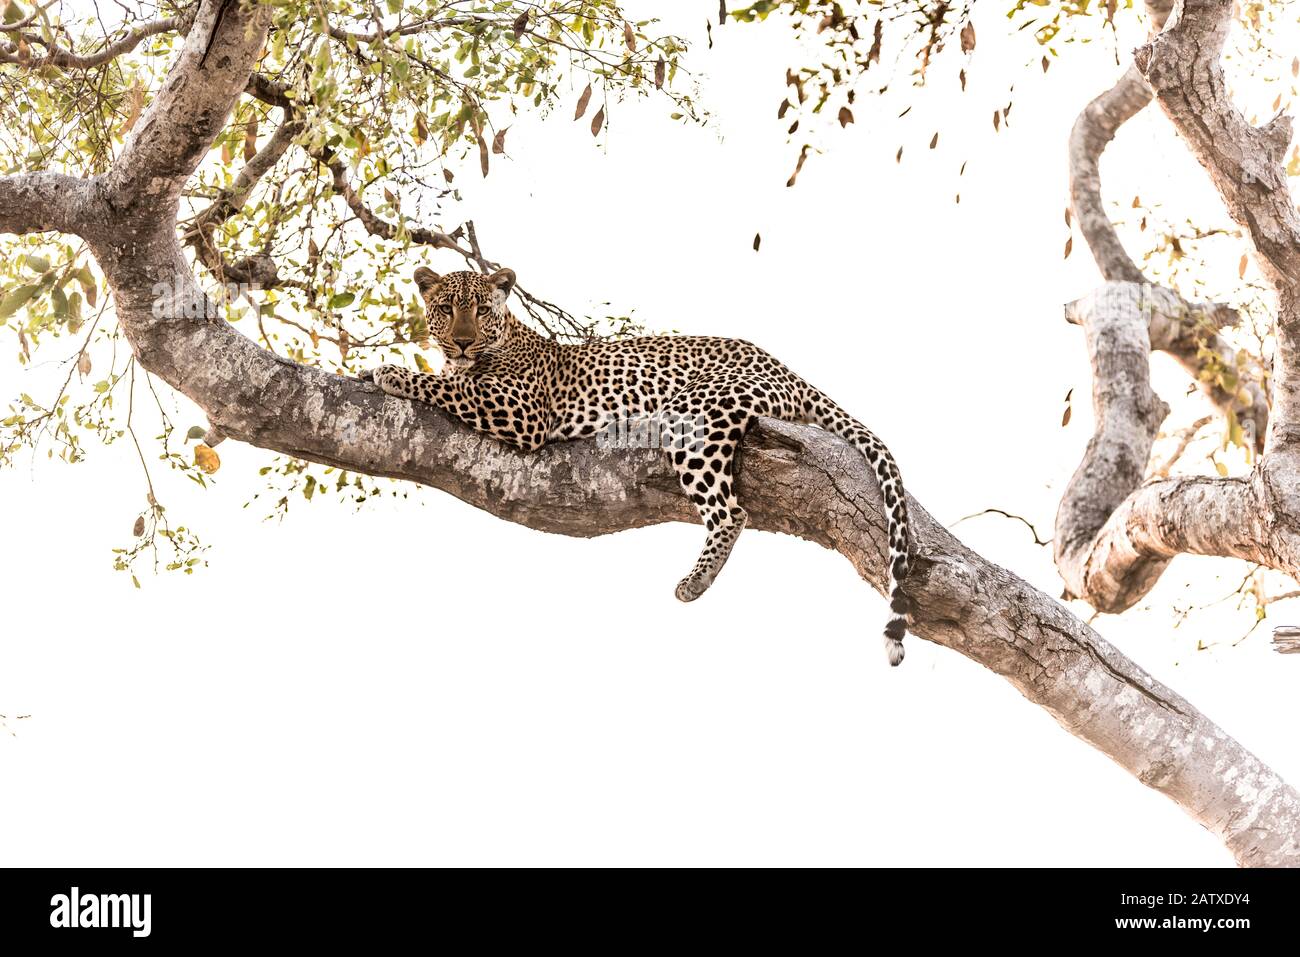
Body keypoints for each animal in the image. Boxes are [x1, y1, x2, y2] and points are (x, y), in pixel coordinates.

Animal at [363, 267, 914, 665]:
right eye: (445, 309)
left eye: (479, 310)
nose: (460, 341)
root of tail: (786, 369)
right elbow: (450, 379)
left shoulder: (521, 409)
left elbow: (446, 385)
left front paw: (390, 372)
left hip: (695, 415)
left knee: (731, 512)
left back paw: (695, 582)